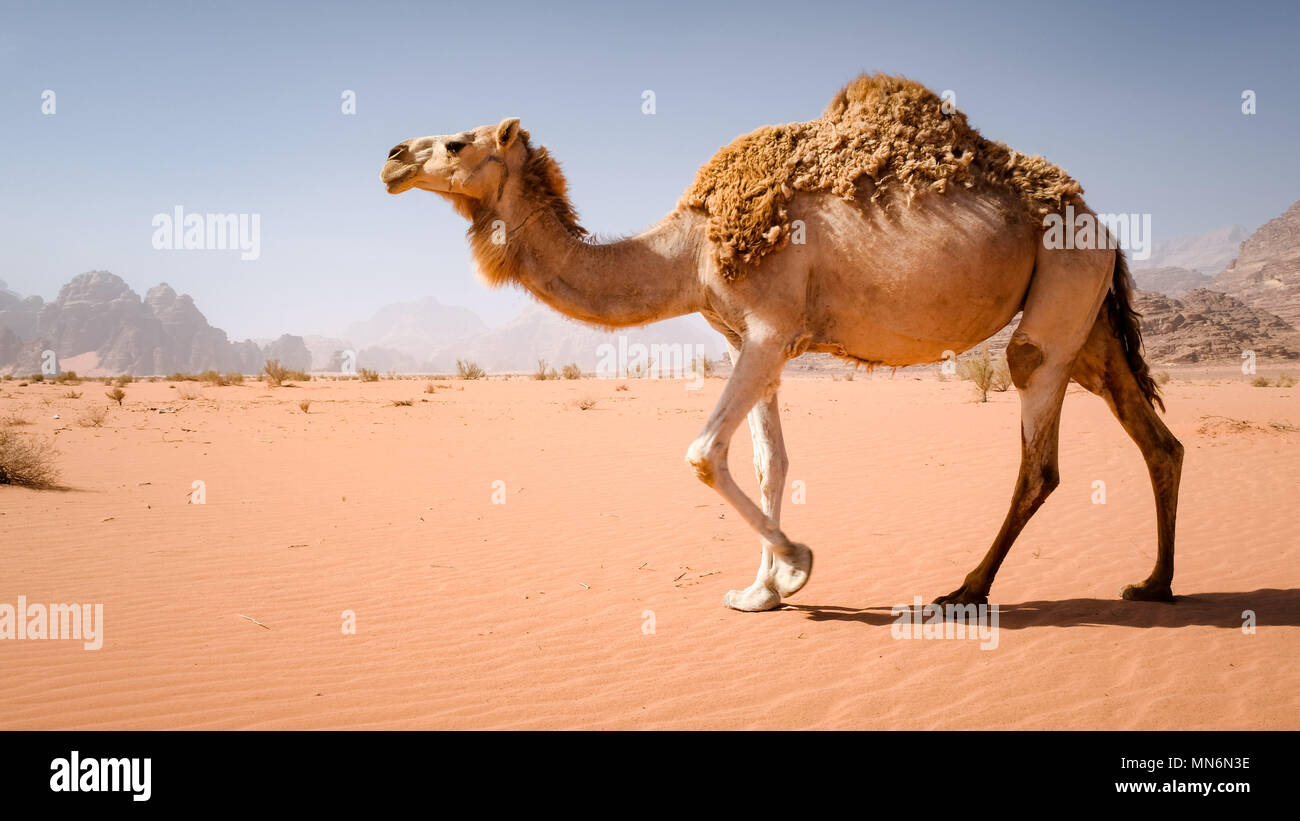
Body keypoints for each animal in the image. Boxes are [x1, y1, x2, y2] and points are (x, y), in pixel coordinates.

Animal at [381, 74, 1183, 612]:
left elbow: (704, 453)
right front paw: (760, 590)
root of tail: (1104, 226)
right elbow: (772, 463)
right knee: (1158, 441)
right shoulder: (755, 337)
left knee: (1037, 448)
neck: (687, 250)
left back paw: (968, 588)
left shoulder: (767, 328)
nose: (391, 157)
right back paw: (1153, 583)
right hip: (1089, 322)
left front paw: (796, 565)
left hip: (1060, 290)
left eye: (455, 141)